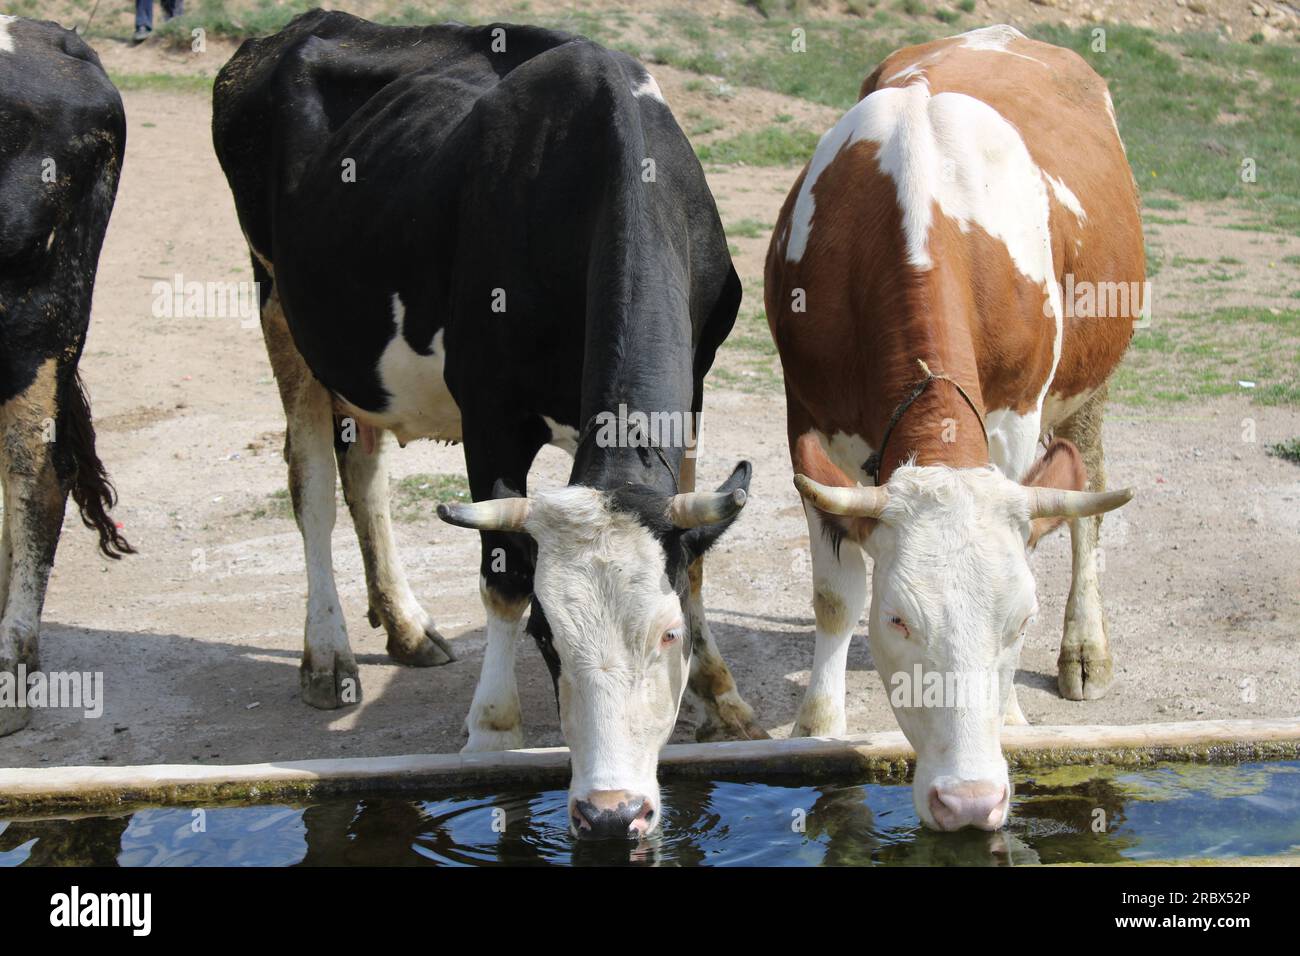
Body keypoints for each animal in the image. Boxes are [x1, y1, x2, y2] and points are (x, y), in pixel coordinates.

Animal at [212, 10, 765, 839]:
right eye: (548, 635)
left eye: (666, 634)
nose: (612, 815)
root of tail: (302, 25)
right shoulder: (490, 410)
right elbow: (502, 575)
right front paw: (493, 732)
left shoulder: (693, 390)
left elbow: (695, 561)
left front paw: (721, 697)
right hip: (279, 299)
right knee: (311, 484)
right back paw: (327, 656)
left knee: (363, 472)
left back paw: (407, 628)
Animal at [766, 26, 1140, 831]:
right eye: (900, 620)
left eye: (1019, 622)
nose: (970, 801)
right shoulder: (808, 416)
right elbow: (836, 596)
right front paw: (818, 725)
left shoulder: (1016, 420)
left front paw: (1014, 724)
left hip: (1089, 384)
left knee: (1087, 498)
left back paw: (1086, 650)